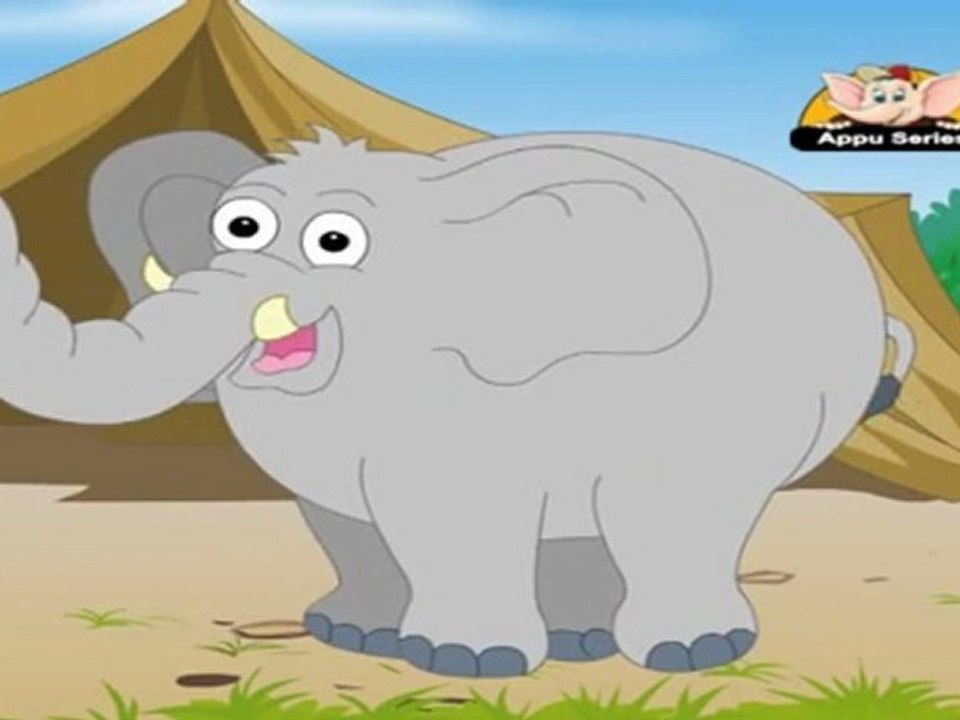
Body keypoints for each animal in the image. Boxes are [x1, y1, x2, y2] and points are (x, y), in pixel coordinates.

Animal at [0, 128, 914, 678]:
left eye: (336, 243)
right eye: (240, 228)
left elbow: (460, 514)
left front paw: (461, 663)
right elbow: (347, 519)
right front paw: (359, 637)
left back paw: (687, 649)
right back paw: (580, 642)